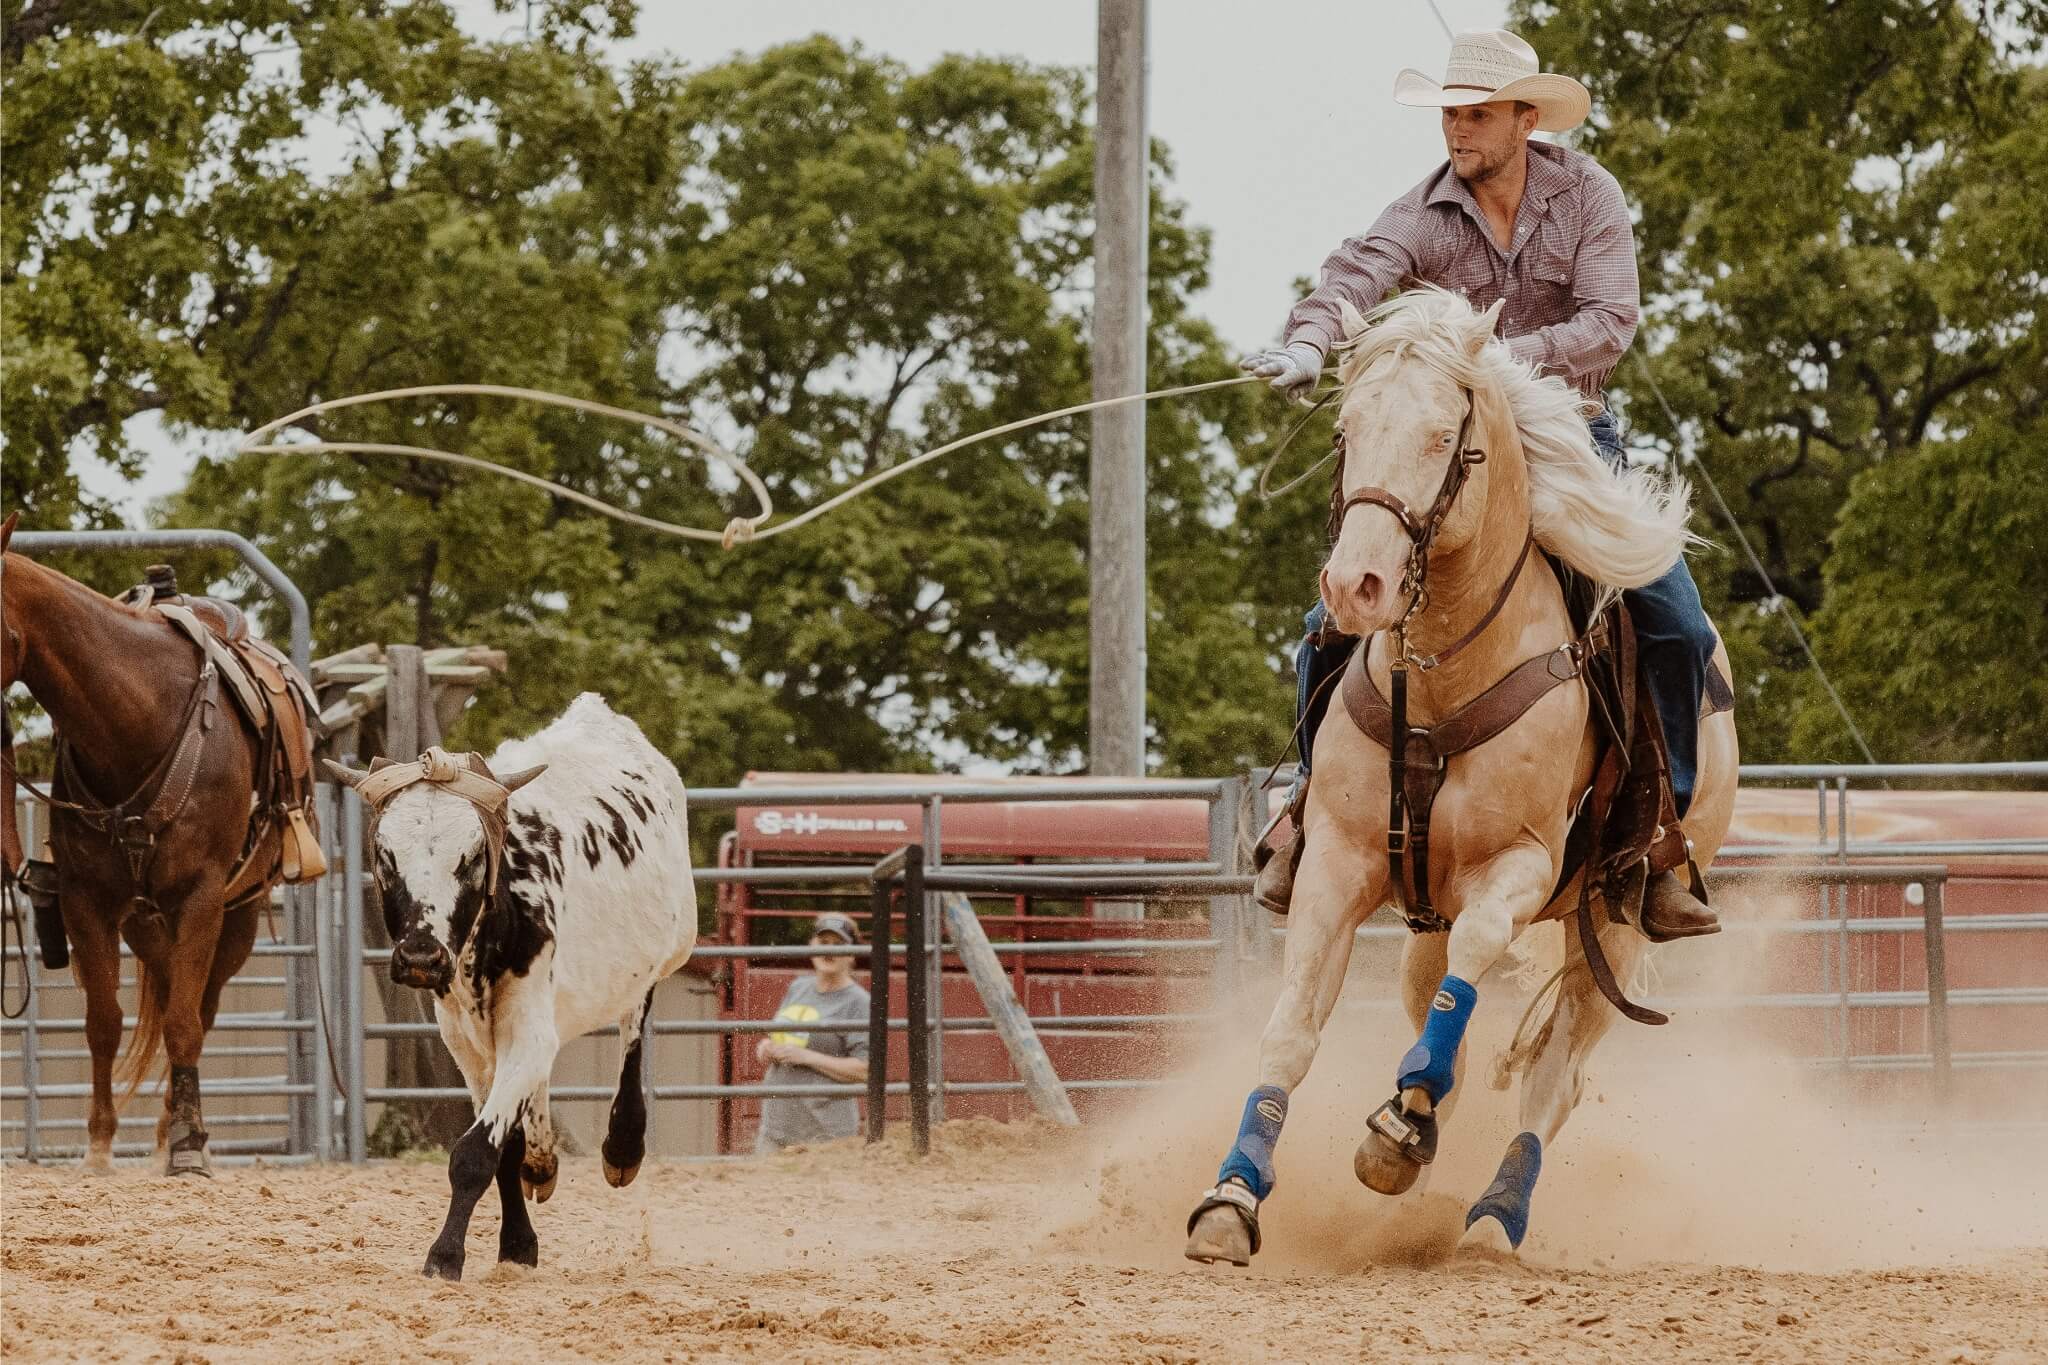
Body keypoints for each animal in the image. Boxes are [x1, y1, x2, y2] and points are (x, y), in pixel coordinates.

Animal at [1, 512, 322, 1175]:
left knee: (199, 1007)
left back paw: (176, 1132)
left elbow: (183, 1024)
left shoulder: (200, 896)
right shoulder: (86, 900)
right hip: (145, 923)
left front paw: (189, 1148)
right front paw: (99, 1146)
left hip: (237, 916)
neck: (136, 716)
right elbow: (103, 1021)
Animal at [1185, 289, 1739, 1263]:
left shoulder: (1516, 866)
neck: (1443, 676)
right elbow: (1292, 1029)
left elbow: (1479, 965)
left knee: (1555, 1071)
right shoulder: (1337, 863)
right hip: (1425, 919)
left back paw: (1492, 1213)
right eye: (1347, 429)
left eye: (1446, 436)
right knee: (1441, 1010)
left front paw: (1398, 1132)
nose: (1357, 584)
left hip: (1612, 922)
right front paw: (1232, 1194)